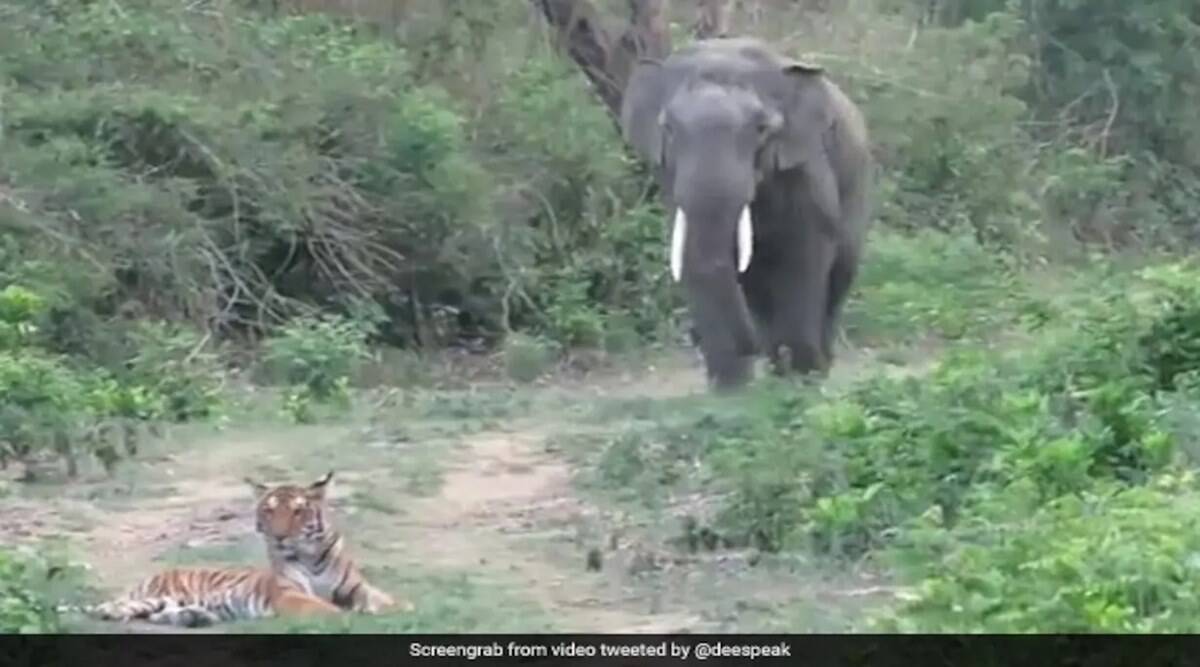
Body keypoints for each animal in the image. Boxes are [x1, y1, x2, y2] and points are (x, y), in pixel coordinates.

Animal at [620, 37, 873, 390]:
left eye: (762, 129)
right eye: (667, 128)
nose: (754, 345)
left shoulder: (805, 165)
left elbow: (803, 252)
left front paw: (803, 377)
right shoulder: (669, 176)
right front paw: (731, 390)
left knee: (839, 274)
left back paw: (813, 366)